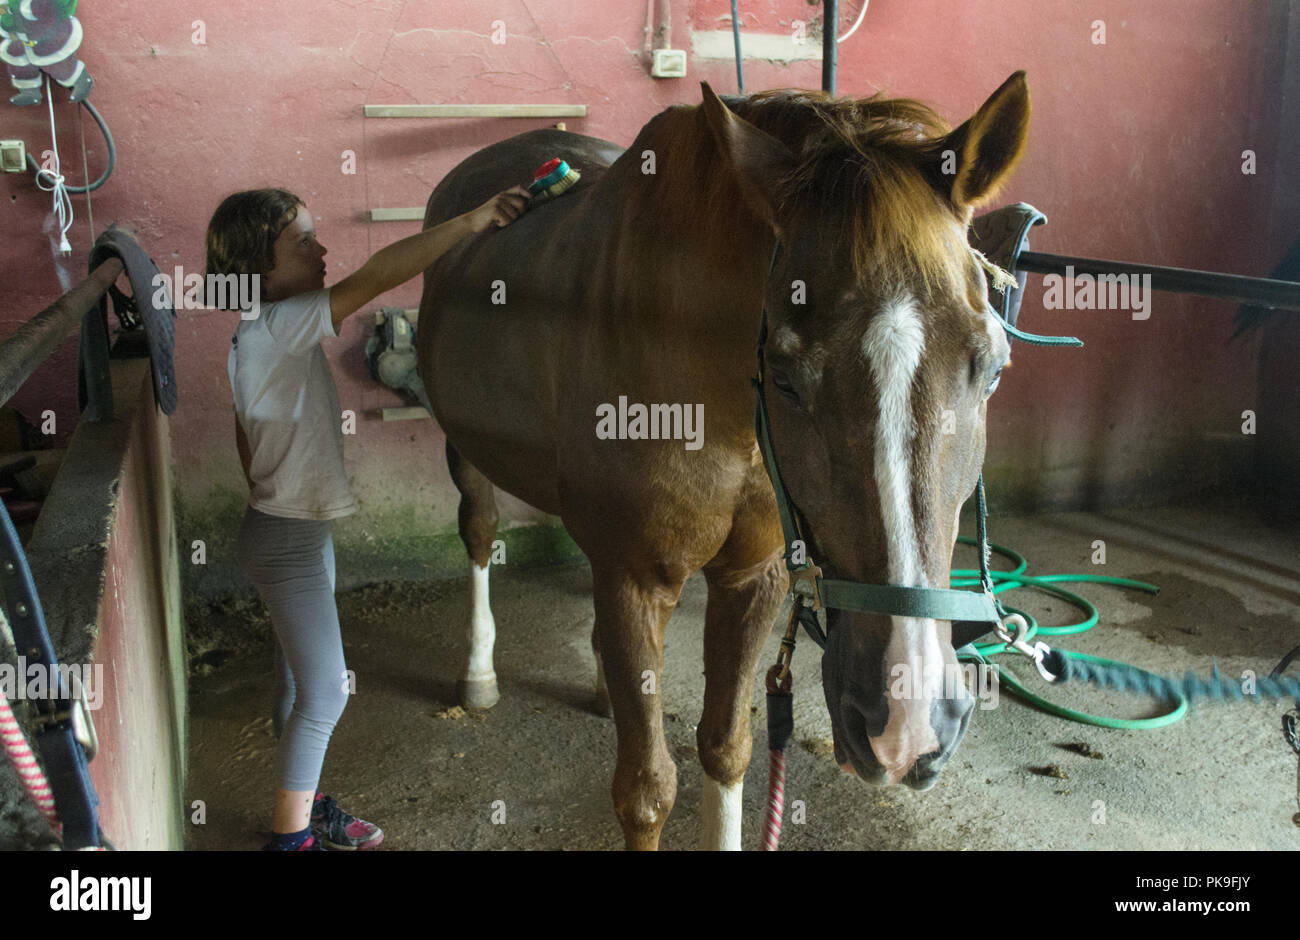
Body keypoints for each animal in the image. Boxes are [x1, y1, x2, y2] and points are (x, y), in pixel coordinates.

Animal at [416, 72, 1030, 850]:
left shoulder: (752, 576)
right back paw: (478, 675)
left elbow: (727, 748)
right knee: (478, 531)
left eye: (993, 367)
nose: (905, 721)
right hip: (461, 446)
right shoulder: (636, 577)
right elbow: (646, 791)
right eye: (787, 377)